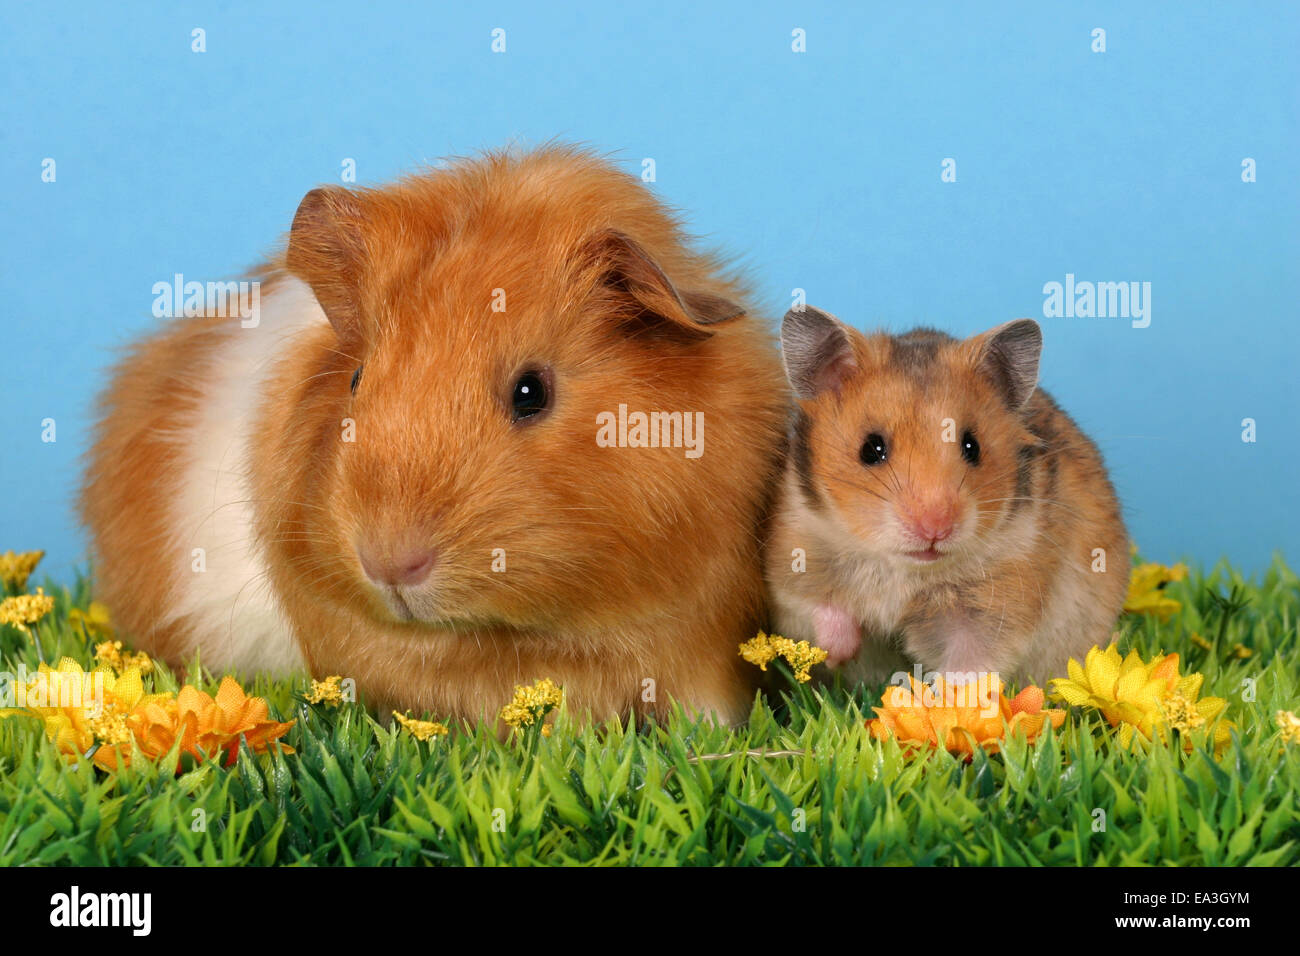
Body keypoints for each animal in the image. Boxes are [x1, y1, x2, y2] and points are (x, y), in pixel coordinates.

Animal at [765, 306, 1129, 689]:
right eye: (871, 448)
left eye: (972, 446)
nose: (934, 529)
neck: (903, 568)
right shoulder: (792, 559)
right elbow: (820, 609)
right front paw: (839, 654)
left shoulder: (994, 604)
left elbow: (968, 665)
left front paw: (940, 702)